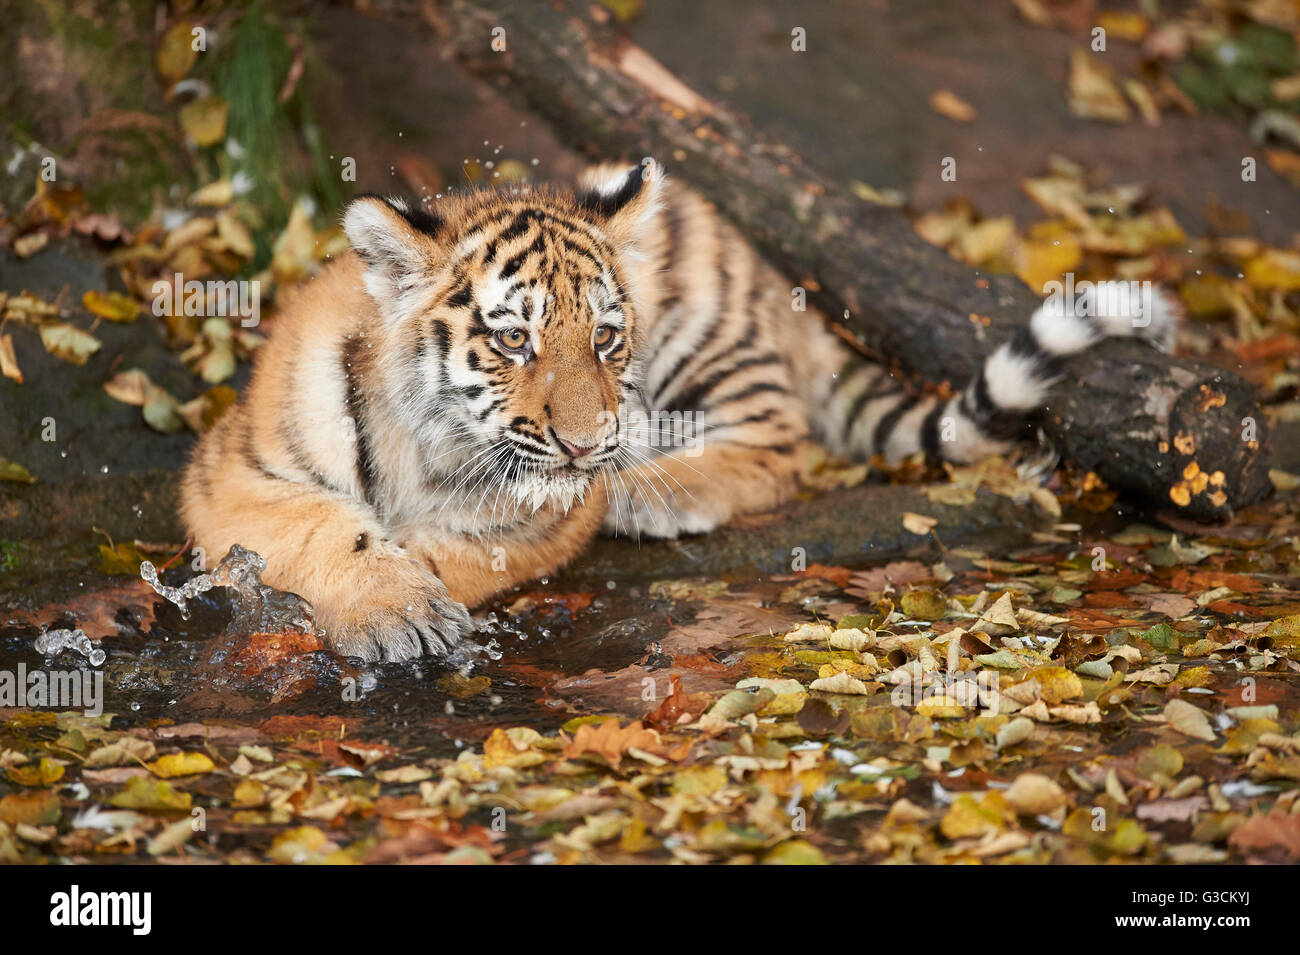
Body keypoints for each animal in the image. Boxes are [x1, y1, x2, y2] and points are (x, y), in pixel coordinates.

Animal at [179, 160, 1175, 662]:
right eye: (513, 340)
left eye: (606, 338)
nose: (588, 447)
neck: (431, 448)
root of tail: (768, 272)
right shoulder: (231, 467)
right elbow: (324, 525)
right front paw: (394, 610)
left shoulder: (544, 509)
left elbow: (467, 544)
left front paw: (418, 585)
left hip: (709, 344)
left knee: (779, 445)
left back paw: (650, 490)